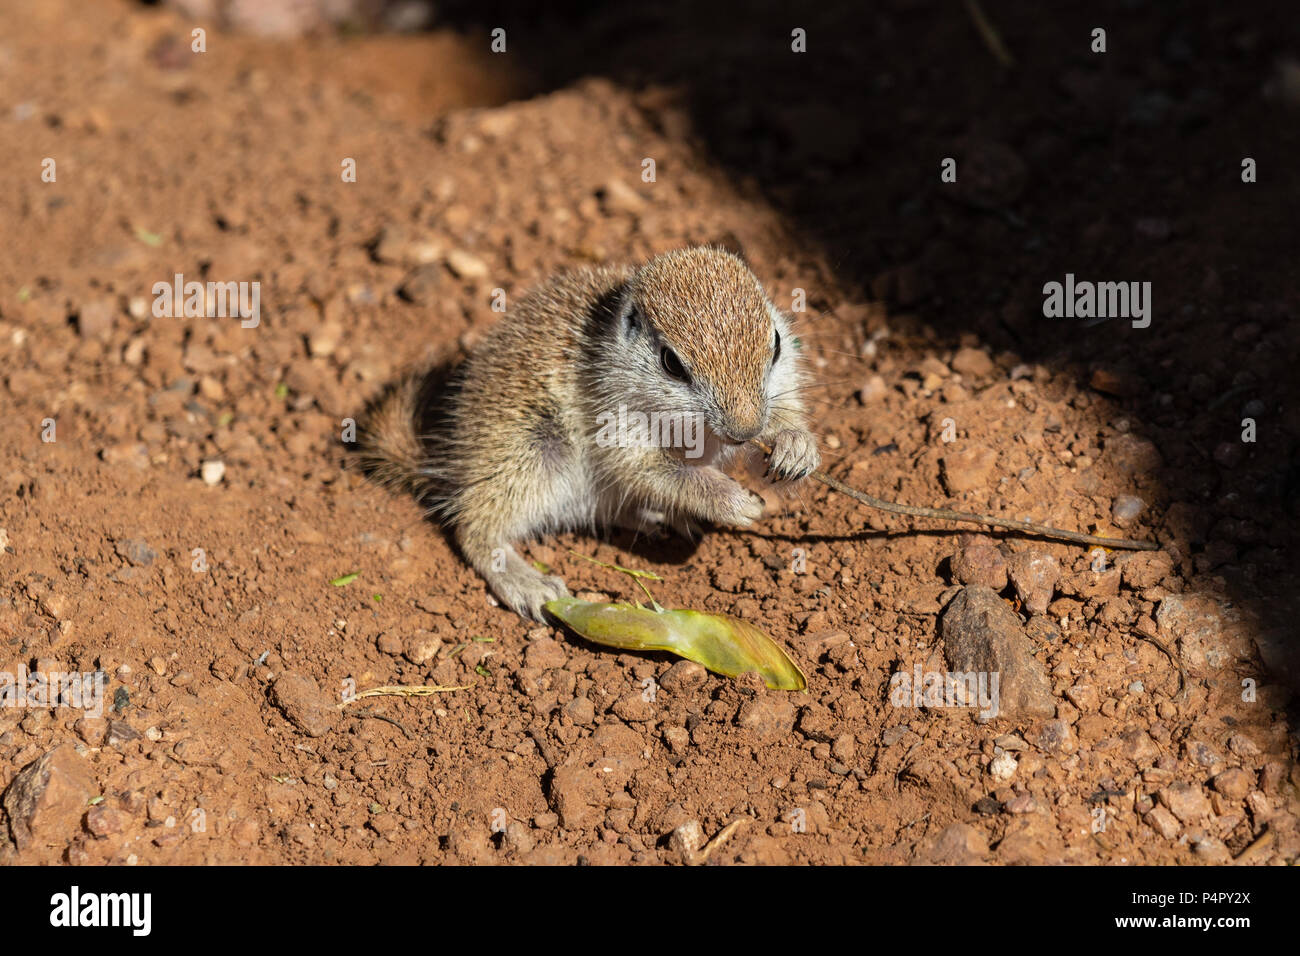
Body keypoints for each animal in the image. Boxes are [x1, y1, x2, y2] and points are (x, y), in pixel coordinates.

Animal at [357, 246, 820, 620]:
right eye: (671, 363)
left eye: (777, 343)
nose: (745, 430)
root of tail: (451, 465)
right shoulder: (613, 422)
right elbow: (653, 471)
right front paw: (732, 500)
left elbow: (786, 411)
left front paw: (796, 446)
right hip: (526, 451)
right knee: (476, 529)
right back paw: (526, 582)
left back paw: (657, 518)